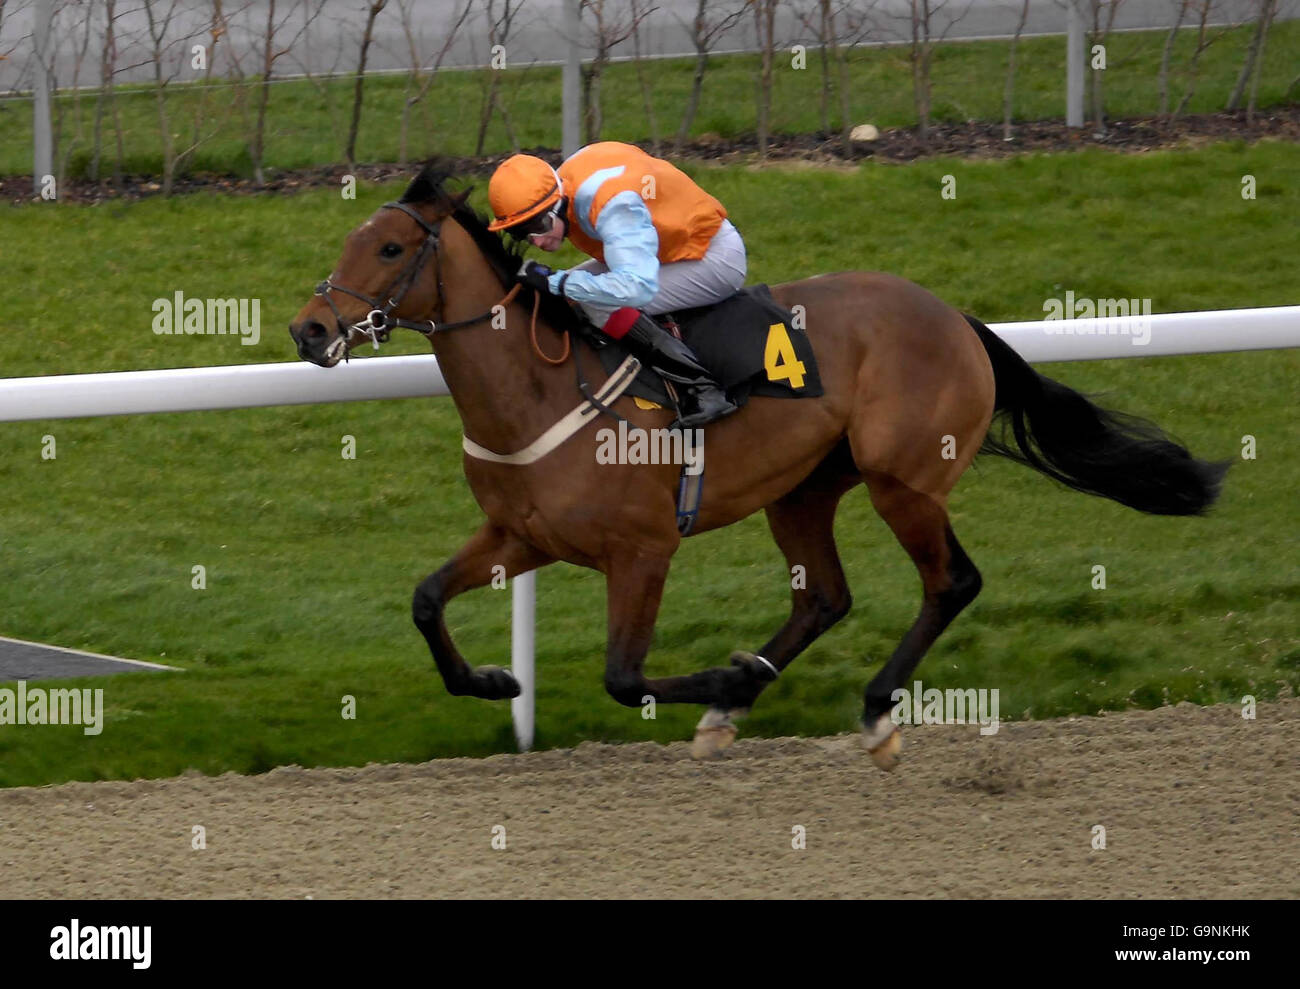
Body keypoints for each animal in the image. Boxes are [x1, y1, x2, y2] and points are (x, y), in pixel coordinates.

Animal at [289, 163, 1228, 769]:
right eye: (349, 239)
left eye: (388, 249)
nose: (308, 329)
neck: (537, 385)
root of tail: (954, 316)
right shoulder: (521, 533)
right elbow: (425, 599)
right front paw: (491, 678)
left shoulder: (642, 550)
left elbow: (623, 676)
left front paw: (728, 672)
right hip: (804, 488)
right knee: (825, 598)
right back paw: (740, 704)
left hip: (902, 480)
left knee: (950, 582)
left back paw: (869, 709)